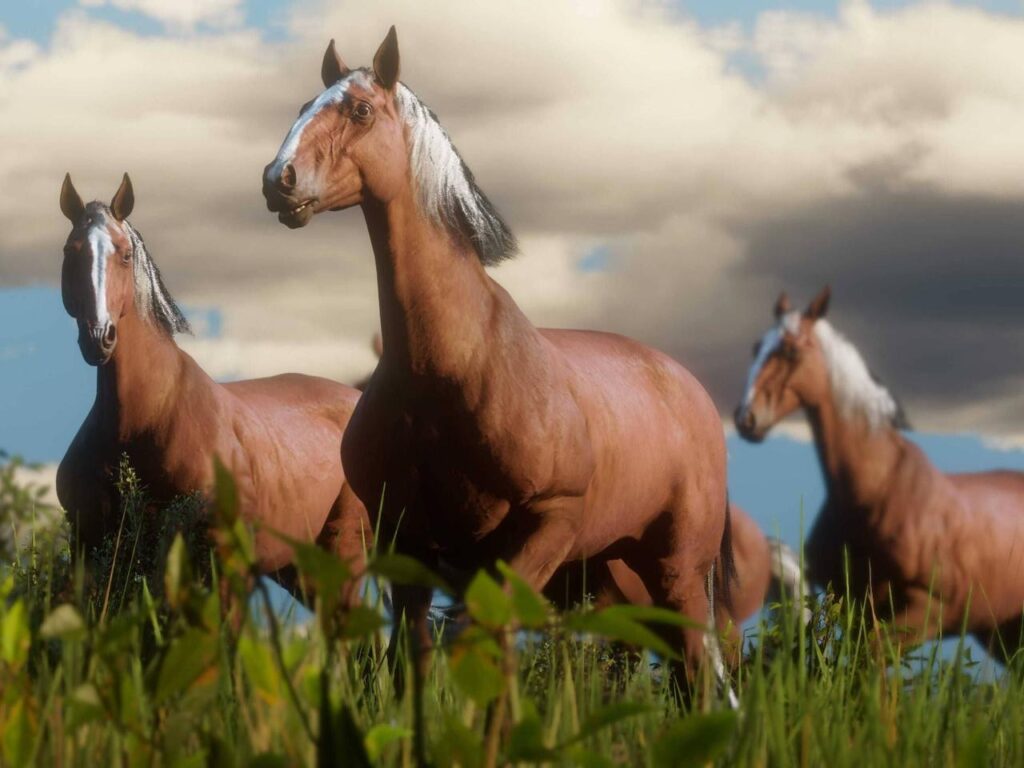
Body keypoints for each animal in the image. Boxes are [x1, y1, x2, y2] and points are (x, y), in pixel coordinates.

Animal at [56, 173, 371, 607]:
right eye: (70, 252)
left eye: (124, 255)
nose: (98, 338)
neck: (143, 420)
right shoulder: (94, 551)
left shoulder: (221, 561)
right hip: (299, 570)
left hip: (343, 556)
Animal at [261, 28, 732, 693]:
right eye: (306, 104)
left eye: (360, 110)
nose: (279, 179)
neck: (449, 370)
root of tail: (690, 389)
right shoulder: (409, 546)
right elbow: (416, 660)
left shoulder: (545, 525)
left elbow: (475, 640)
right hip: (610, 571)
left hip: (675, 571)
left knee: (698, 668)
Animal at [734, 286, 1024, 658]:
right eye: (757, 347)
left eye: (790, 350)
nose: (746, 418)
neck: (877, 490)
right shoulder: (856, 610)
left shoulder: (927, 612)